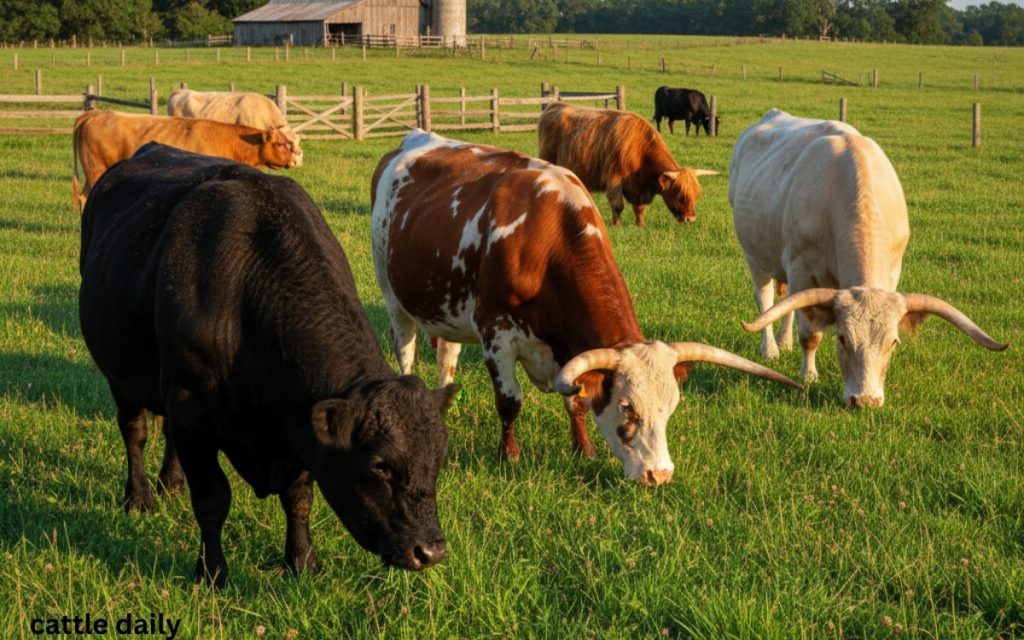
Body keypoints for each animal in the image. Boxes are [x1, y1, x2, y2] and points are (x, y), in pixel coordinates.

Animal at [79, 143, 458, 586]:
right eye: (379, 465)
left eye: (438, 458)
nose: (430, 550)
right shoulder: (191, 406)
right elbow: (212, 498)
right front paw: (212, 571)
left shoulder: (294, 419)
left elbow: (299, 498)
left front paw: (302, 561)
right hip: (120, 373)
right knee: (134, 432)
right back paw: (139, 496)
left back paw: (170, 484)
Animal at [371, 130, 800, 486]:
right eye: (627, 408)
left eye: (671, 406)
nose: (659, 475)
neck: (545, 239)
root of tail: (410, 140)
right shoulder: (496, 334)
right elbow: (510, 403)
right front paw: (509, 456)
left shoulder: (568, 346)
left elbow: (576, 402)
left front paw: (584, 450)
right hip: (394, 299)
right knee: (405, 353)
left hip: (449, 311)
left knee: (447, 356)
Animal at [538, 102, 718, 227]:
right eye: (681, 196)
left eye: (696, 195)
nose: (690, 219)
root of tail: (553, 106)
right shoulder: (614, 179)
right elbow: (618, 206)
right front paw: (616, 225)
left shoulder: (639, 189)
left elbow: (639, 208)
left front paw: (641, 224)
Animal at [730, 109, 1007, 408]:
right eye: (842, 339)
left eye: (893, 342)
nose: (864, 400)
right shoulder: (801, 270)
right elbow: (810, 334)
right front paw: (809, 375)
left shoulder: (892, 270)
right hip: (755, 256)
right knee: (765, 298)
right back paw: (770, 348)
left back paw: (784, 342)